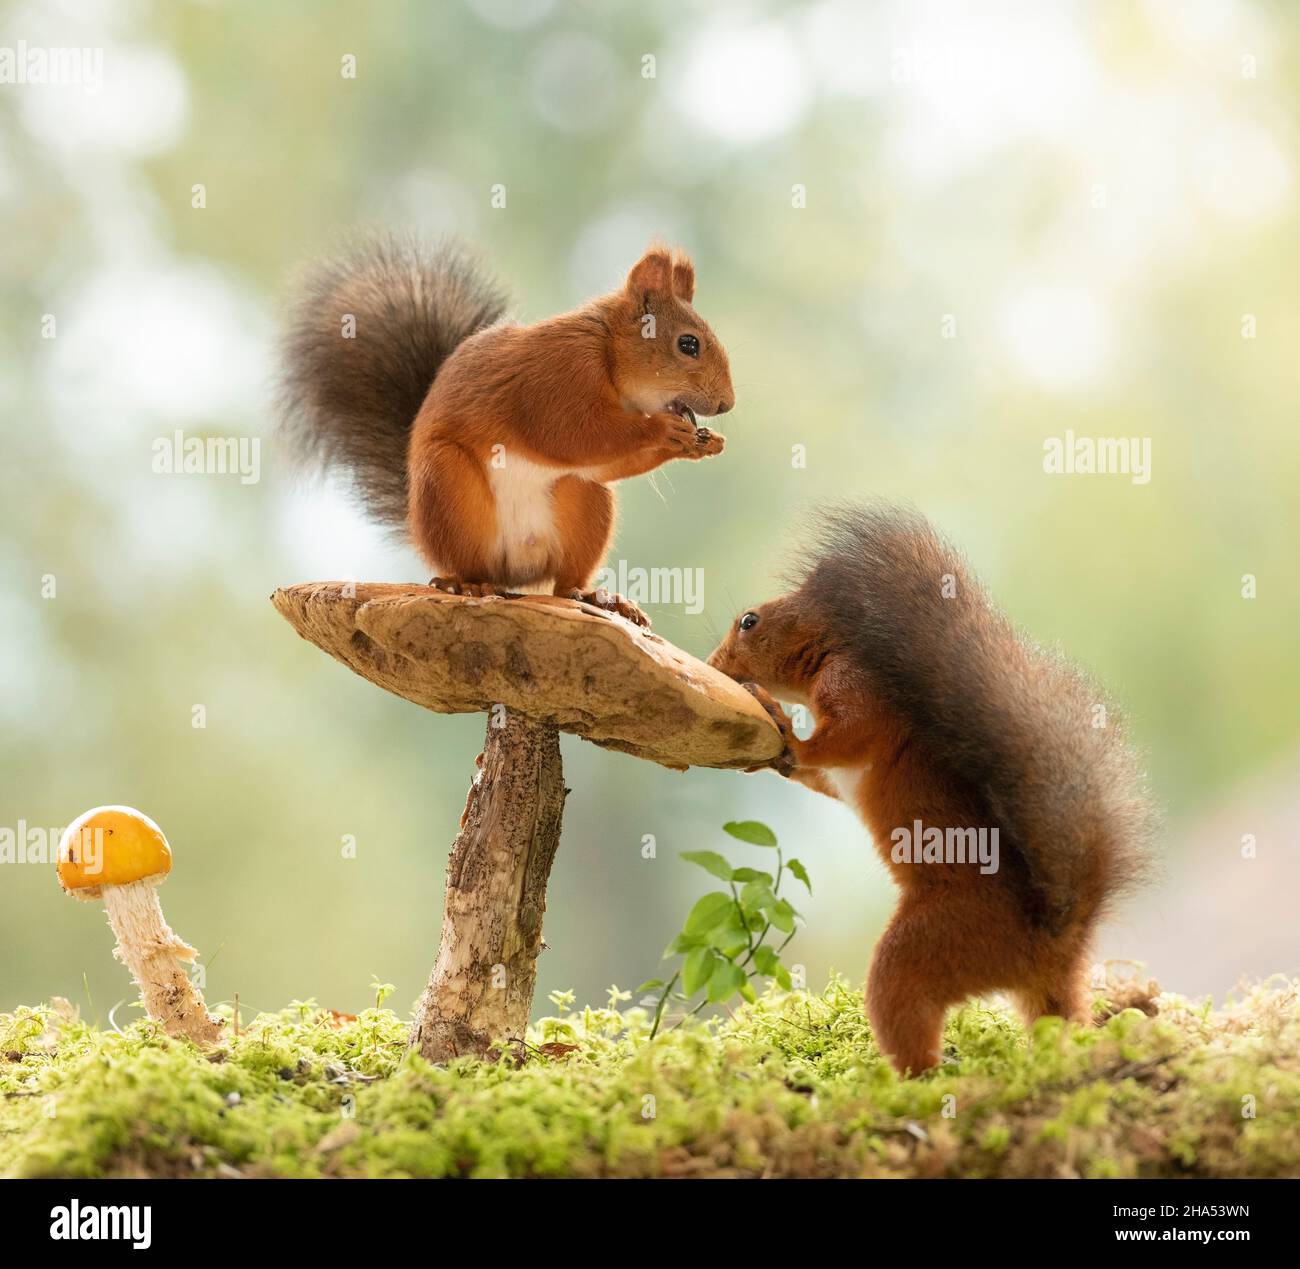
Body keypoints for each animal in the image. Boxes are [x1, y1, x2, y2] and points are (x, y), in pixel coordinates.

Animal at [279, 233, 734, 626]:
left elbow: (601, 461)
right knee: (467, 563)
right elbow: (574, 434)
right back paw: (468, 583)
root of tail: (515, 572)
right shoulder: (557, 377)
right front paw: (664, 431)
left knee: (564, 581)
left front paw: (705, 443)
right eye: (688, 344)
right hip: (449, 485)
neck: (607, 349)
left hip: (585, 501)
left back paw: (596, 597)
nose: (726, 404)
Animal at [707, 503, 1155, 1076]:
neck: (832, 651)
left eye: (749, 621)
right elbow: (822, 779)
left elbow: (841, 739)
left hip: (934, 945)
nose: (713, 665)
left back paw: (908, 1078)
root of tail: (1049, 941)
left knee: (905, 1010)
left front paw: (784, 728)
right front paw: (768, 757)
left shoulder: (858, 693)